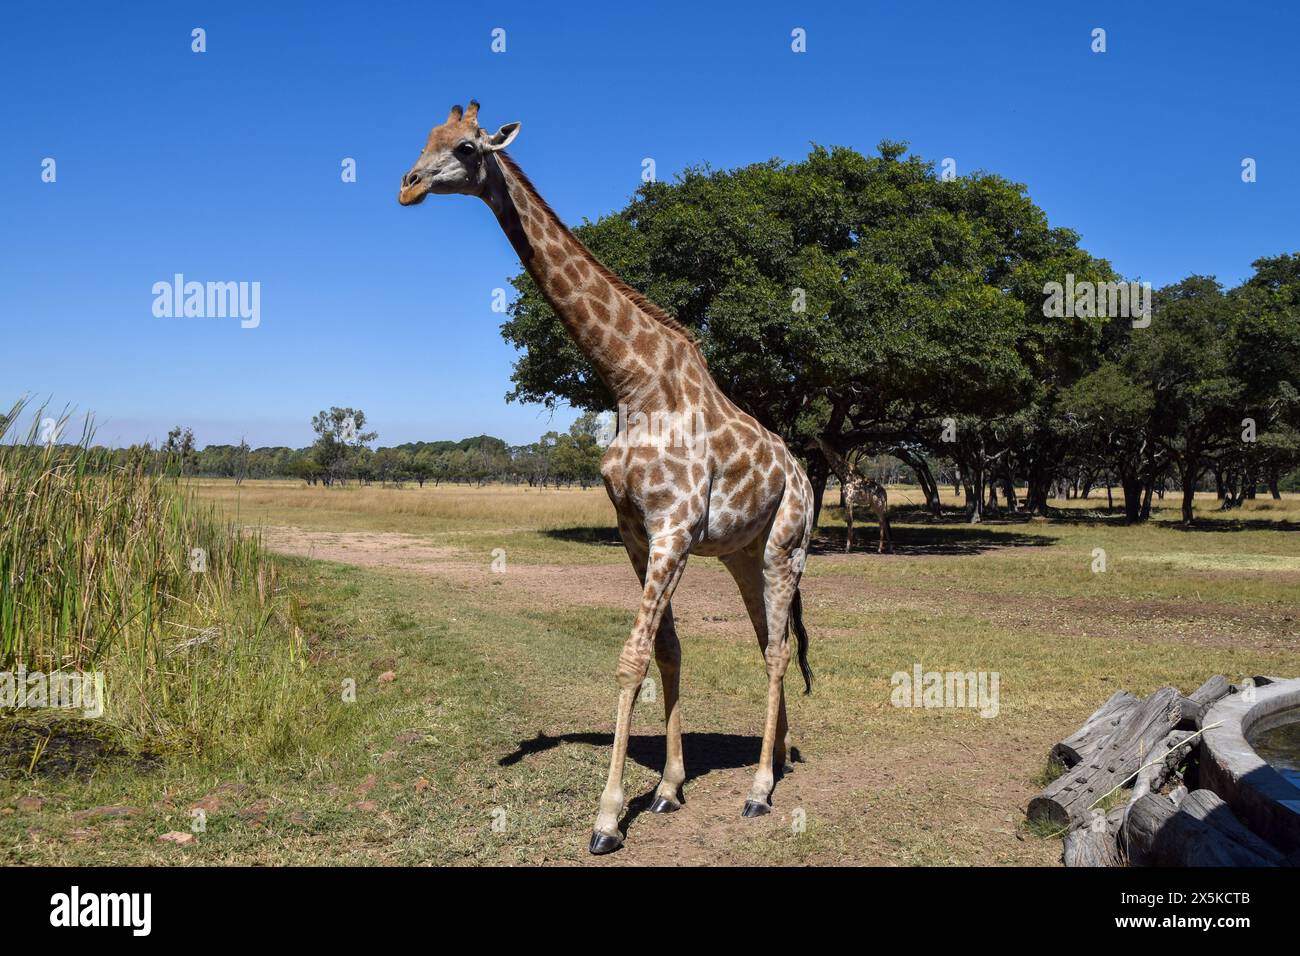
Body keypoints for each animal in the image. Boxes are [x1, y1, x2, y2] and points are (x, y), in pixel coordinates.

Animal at [400, 100, 816, 858]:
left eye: (468, 148)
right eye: (425, 139)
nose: (407, 186)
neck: (630, 381)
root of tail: (802, 472)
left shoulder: (674, 526)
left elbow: (631, 659)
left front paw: (607, 817)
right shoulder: (635, 529)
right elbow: (668, 650)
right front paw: (668, 789)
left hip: (786, 547)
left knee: (776, 652)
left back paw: (760, 790)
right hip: (743, 553)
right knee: (766, 641)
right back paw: (776, 761)